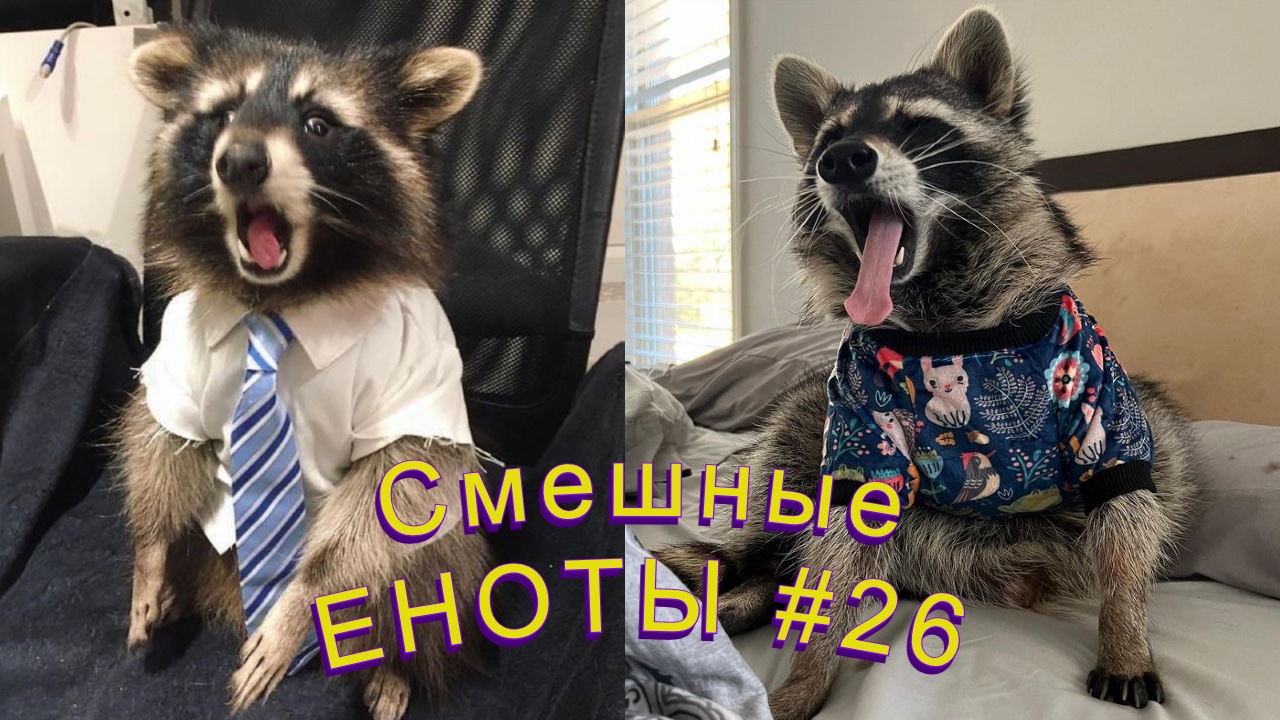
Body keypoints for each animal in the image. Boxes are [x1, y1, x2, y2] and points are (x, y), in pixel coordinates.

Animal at [117, 25, 490, 719]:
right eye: (223, 114)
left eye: (317, 123)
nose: (238, 162)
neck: (281, 301)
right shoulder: (183, 347)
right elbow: (162, 439)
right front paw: (150, 550)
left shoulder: (412, 366)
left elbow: (395, 487)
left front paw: (302, 601)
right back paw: (179, 579)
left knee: (435, 555)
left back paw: (394, 663)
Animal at [656, 7, 1199, 719]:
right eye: (830, 136)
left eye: (915, 125)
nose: (841, 160)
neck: (941, 317)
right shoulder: (857, 410)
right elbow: (847, 521)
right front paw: (810, 667)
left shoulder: (1093, 384)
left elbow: (1126, 497)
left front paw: (1125, 627)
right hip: (801, 437)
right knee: (786, 522)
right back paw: (742, 588)